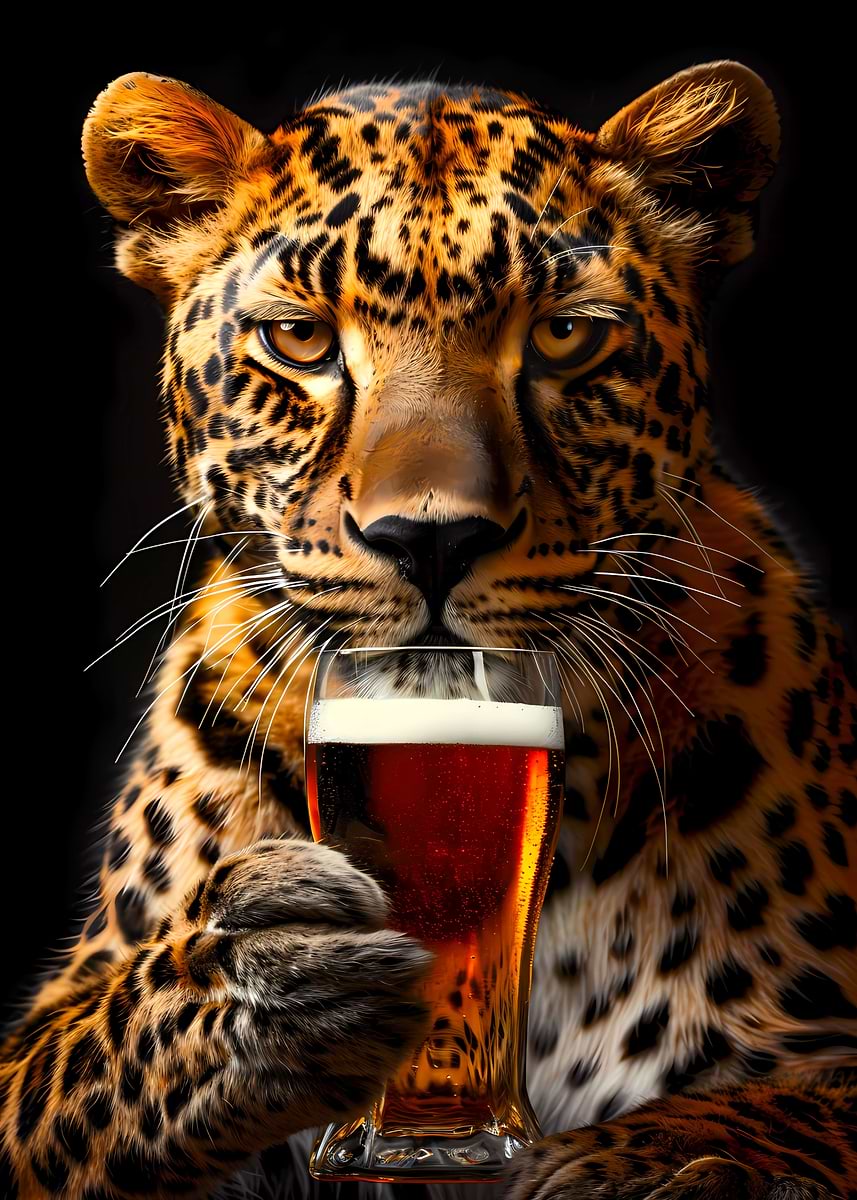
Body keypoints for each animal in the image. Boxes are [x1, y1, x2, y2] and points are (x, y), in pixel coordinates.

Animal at [0, 58, 855, 1199]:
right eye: (301, 339)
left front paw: (643, 1164)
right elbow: (91, 1067)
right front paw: (274, 984)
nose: (432, 538)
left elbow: (777, 1107)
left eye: (565, 334)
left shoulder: (822, 1041)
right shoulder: (56, 1027)